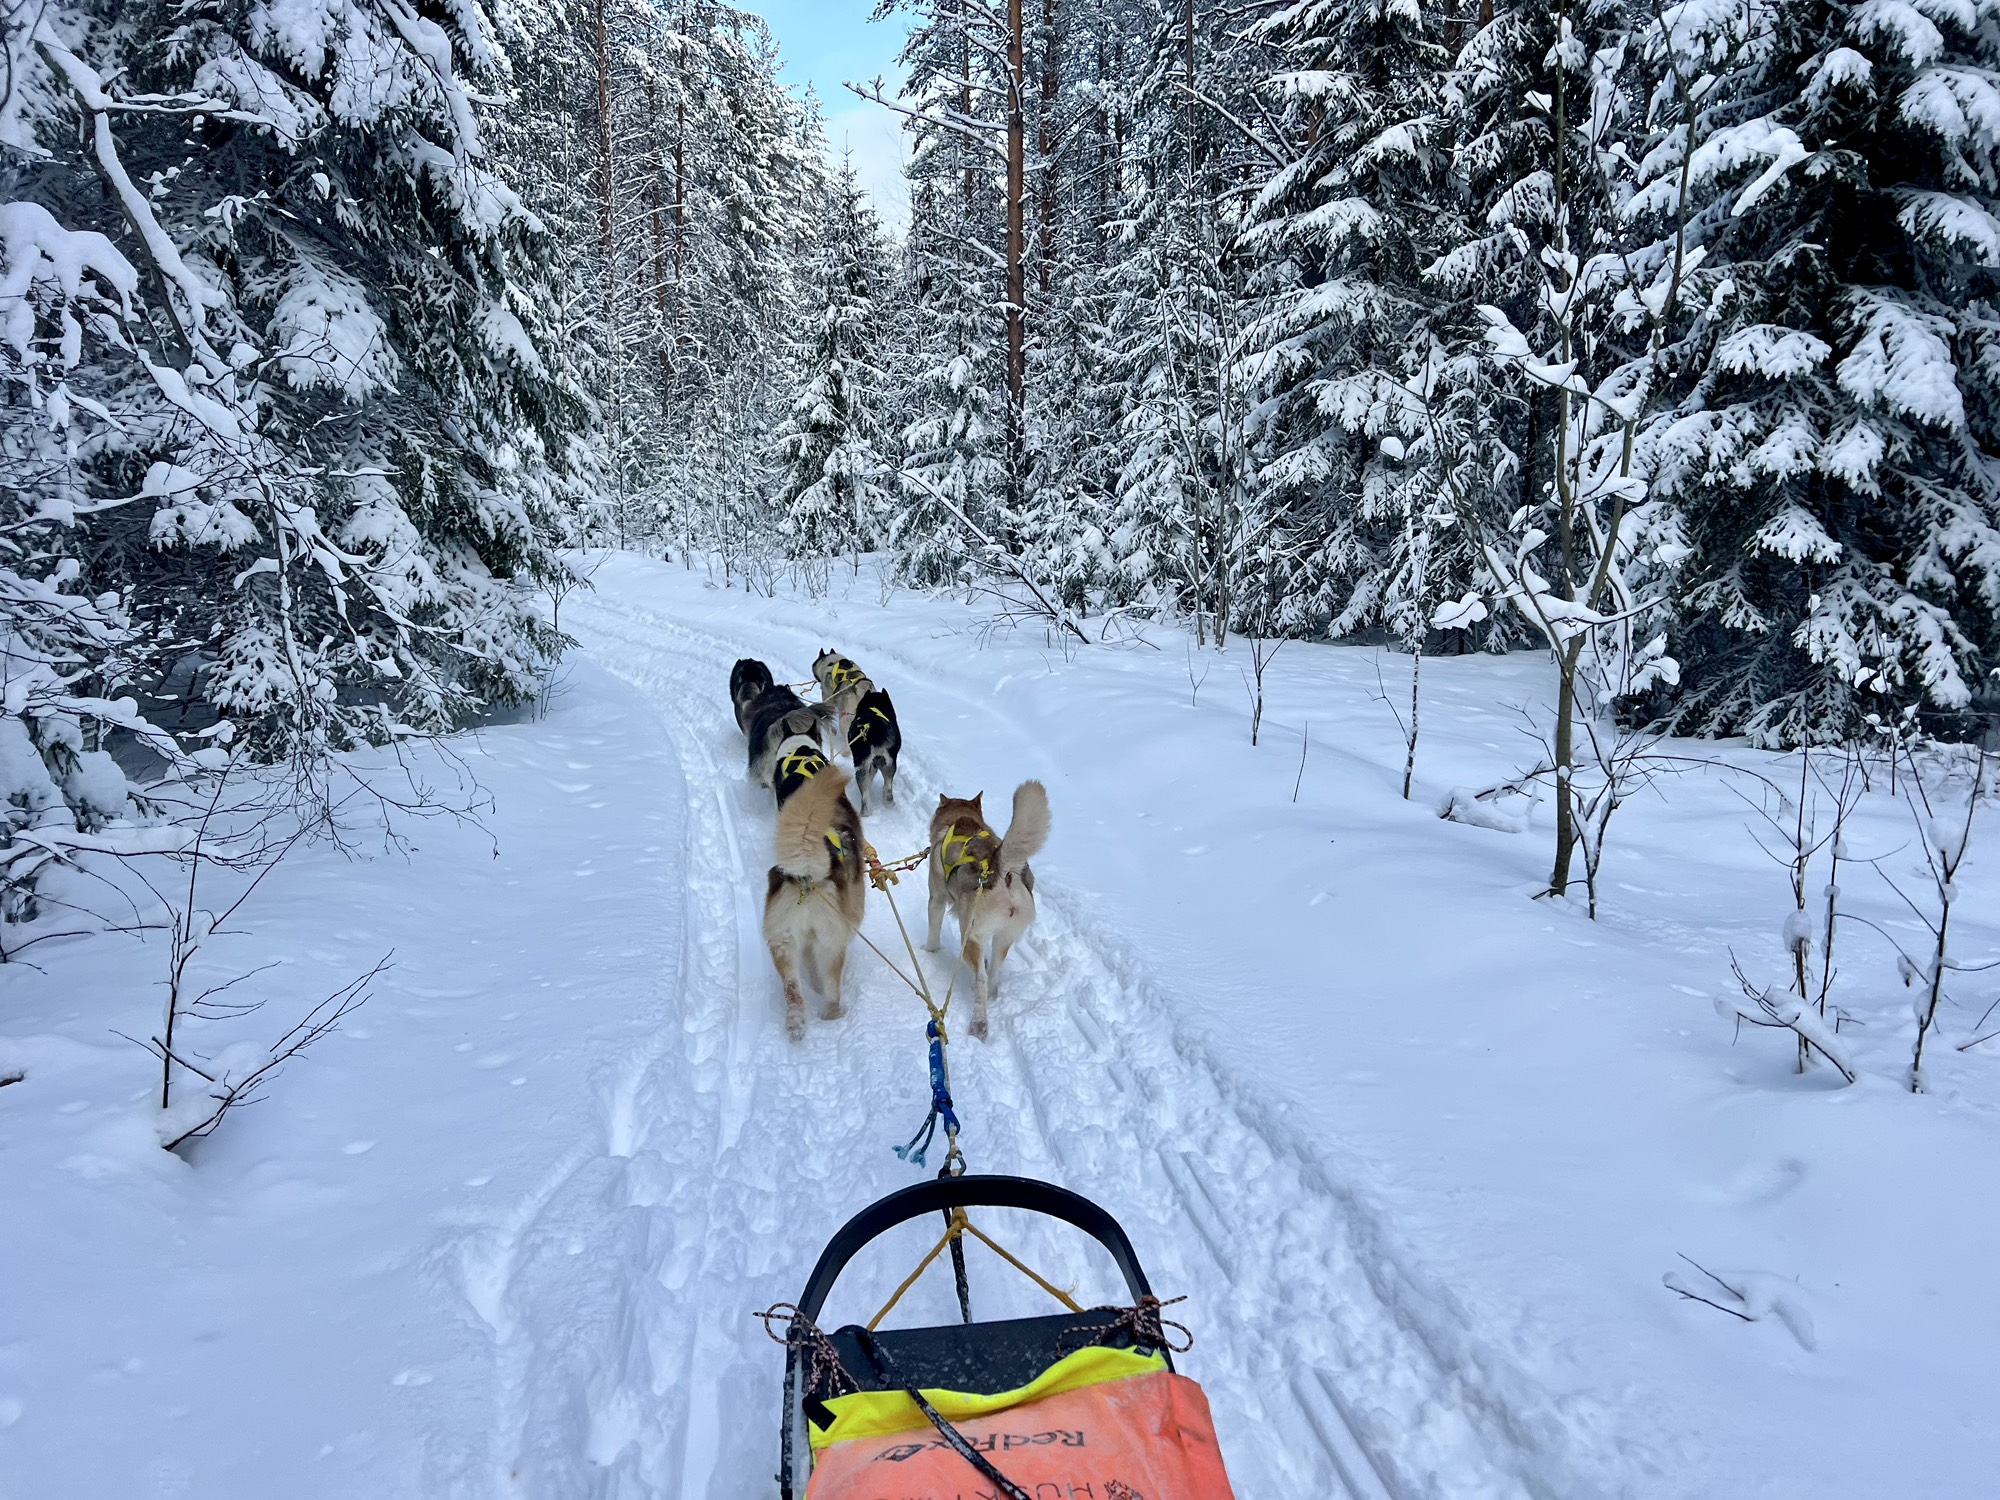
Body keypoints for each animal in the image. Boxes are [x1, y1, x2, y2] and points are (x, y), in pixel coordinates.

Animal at [760, 764, 864, 1048]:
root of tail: (807, 875)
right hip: (831, 949)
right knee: (831, 991)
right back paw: (833, 1017)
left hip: (783, 944)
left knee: (793, 990)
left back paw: (796, 1025)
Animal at [924, 788, 1048, 1048]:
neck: (961, 820)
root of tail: (1005, 873)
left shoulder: (936, 899)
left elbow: (933, 934)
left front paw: (928, 951)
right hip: (1004, 937)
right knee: (993, 972)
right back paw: (990, 992)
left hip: (969, 935)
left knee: (981, 977)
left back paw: (979, 1024)